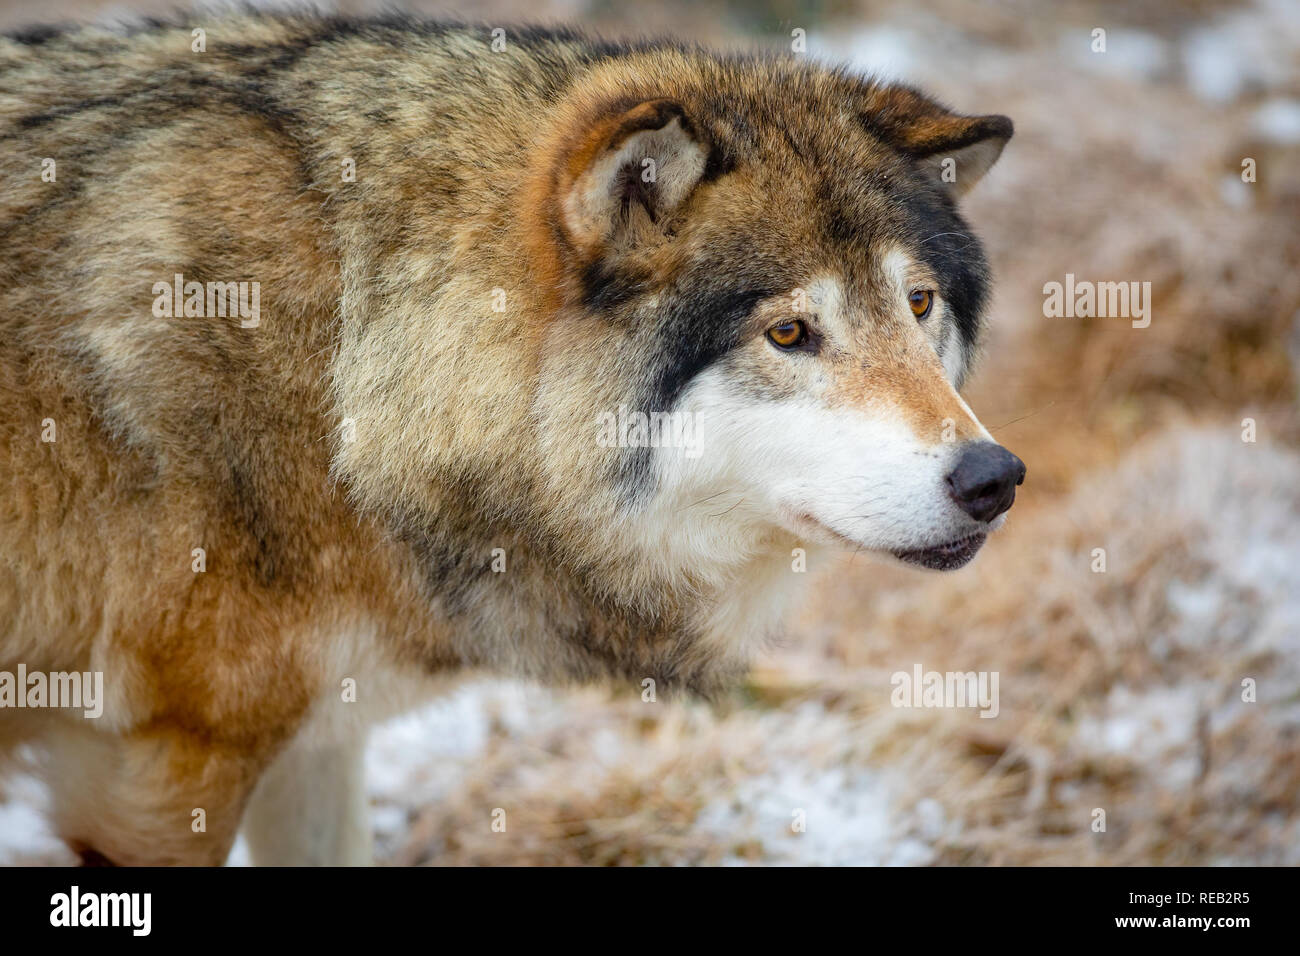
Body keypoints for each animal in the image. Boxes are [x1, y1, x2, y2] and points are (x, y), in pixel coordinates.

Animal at [0, 13, 1024, 865]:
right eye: (789, 333)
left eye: (918, 303)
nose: (995, 478)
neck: (344, 354)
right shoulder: (165, 770)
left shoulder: (315, 742)